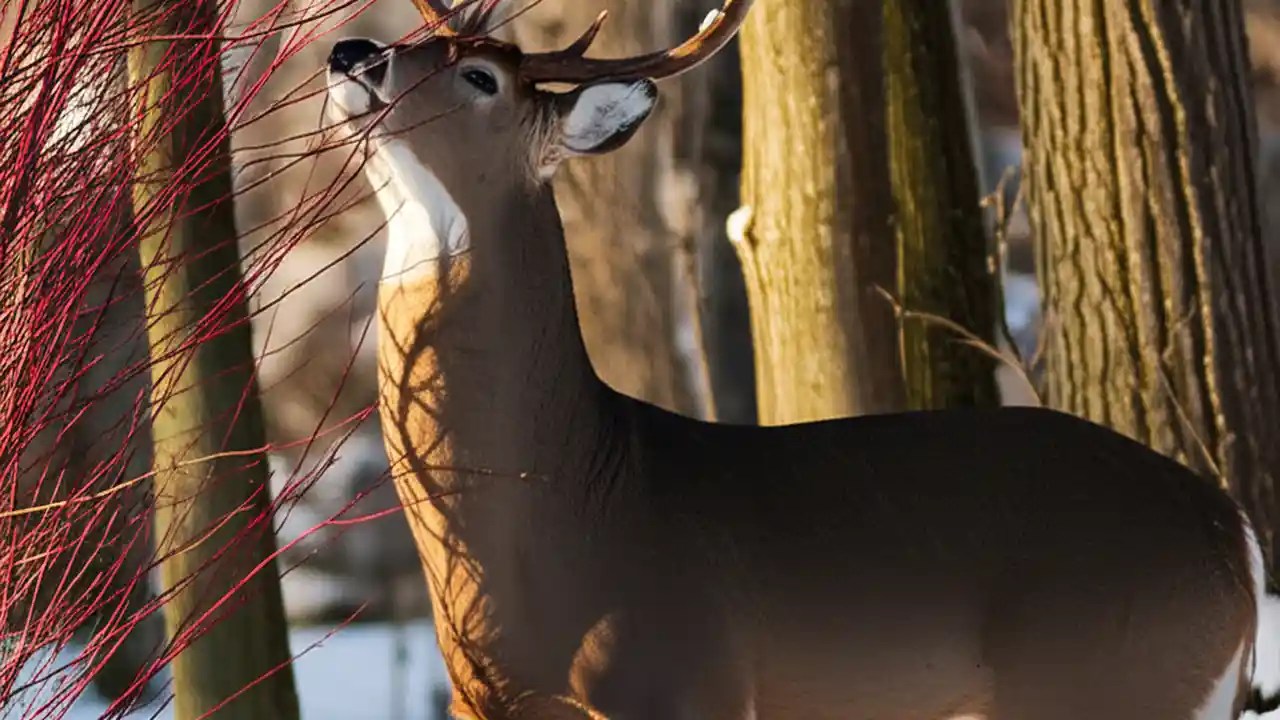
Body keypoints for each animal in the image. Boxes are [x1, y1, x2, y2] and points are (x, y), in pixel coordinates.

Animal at [324, 1, 1280, 717]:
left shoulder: (685, 683)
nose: (353, 51)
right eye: (414, 42)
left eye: (480, 77)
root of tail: (1235, 538)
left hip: (1104, 679)